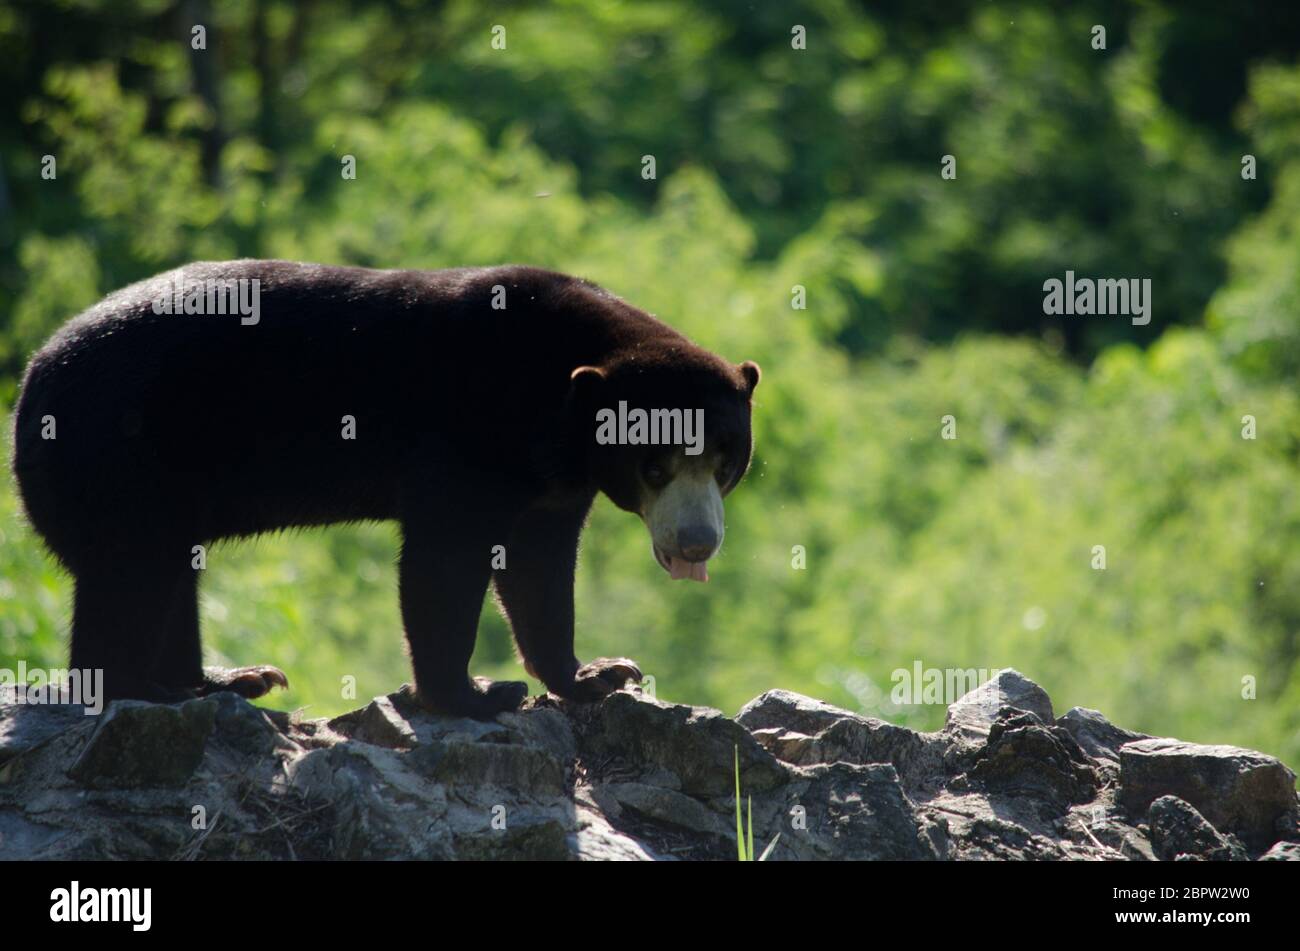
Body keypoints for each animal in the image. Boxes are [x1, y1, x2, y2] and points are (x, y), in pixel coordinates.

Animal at [11, 260, 760, 719]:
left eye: (725, 461)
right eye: (656, 464)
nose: (696, 541)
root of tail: (30, 381)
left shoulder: (554, 478)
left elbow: (538, 565)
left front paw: (599, 673)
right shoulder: (469, 428)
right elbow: (445, 556)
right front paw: (478, 691)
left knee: (171, 575)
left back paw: (225, 678)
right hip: (121, 455)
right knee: (134, 571)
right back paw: (151, 689)